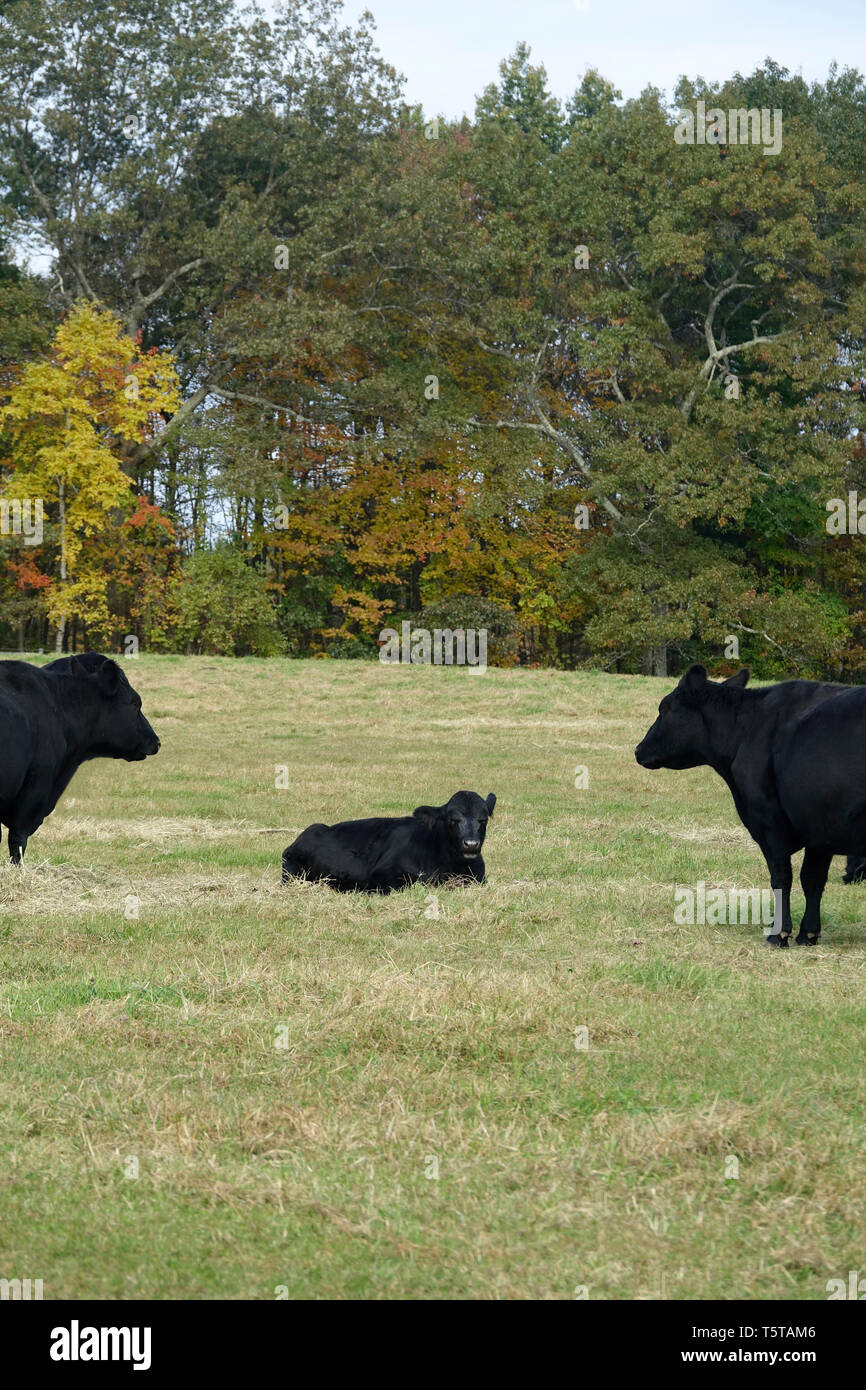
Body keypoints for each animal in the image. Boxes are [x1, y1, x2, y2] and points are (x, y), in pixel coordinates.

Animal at [634, 663, 866, 947]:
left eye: (664, 708)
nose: (638, 749)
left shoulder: (768, 823)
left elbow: (782, 877)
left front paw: (778, 934)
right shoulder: (819, 829)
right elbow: (812, 880)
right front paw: (808, 934)